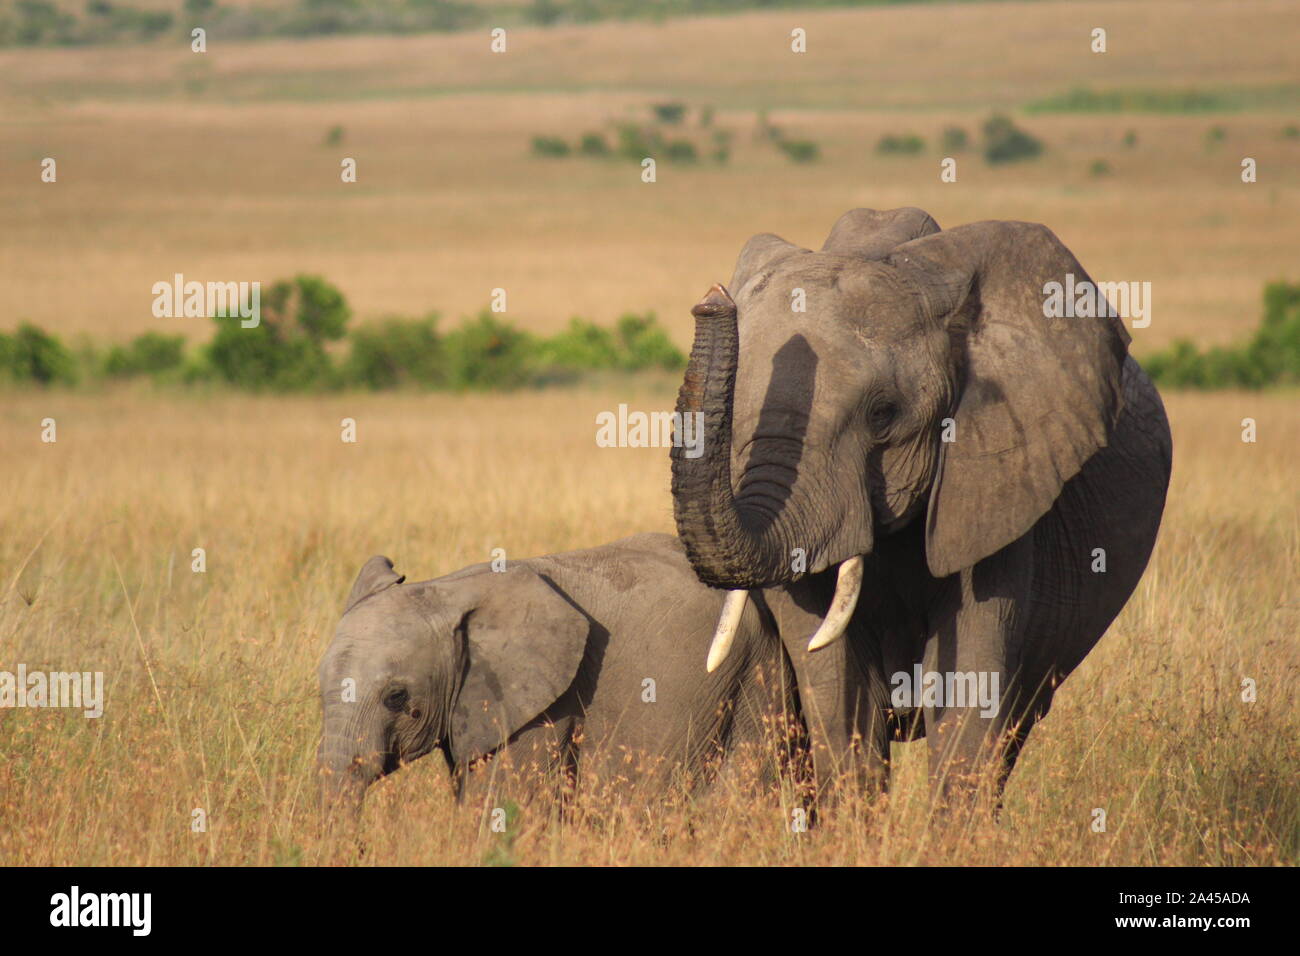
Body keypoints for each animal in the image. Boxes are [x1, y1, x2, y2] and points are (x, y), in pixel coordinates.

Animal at [669, 207, 1172, 804]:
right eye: (739, 411)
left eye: (883, 414)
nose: (712, 299)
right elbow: (834, 688)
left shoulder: (998, 481)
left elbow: (970, 694)